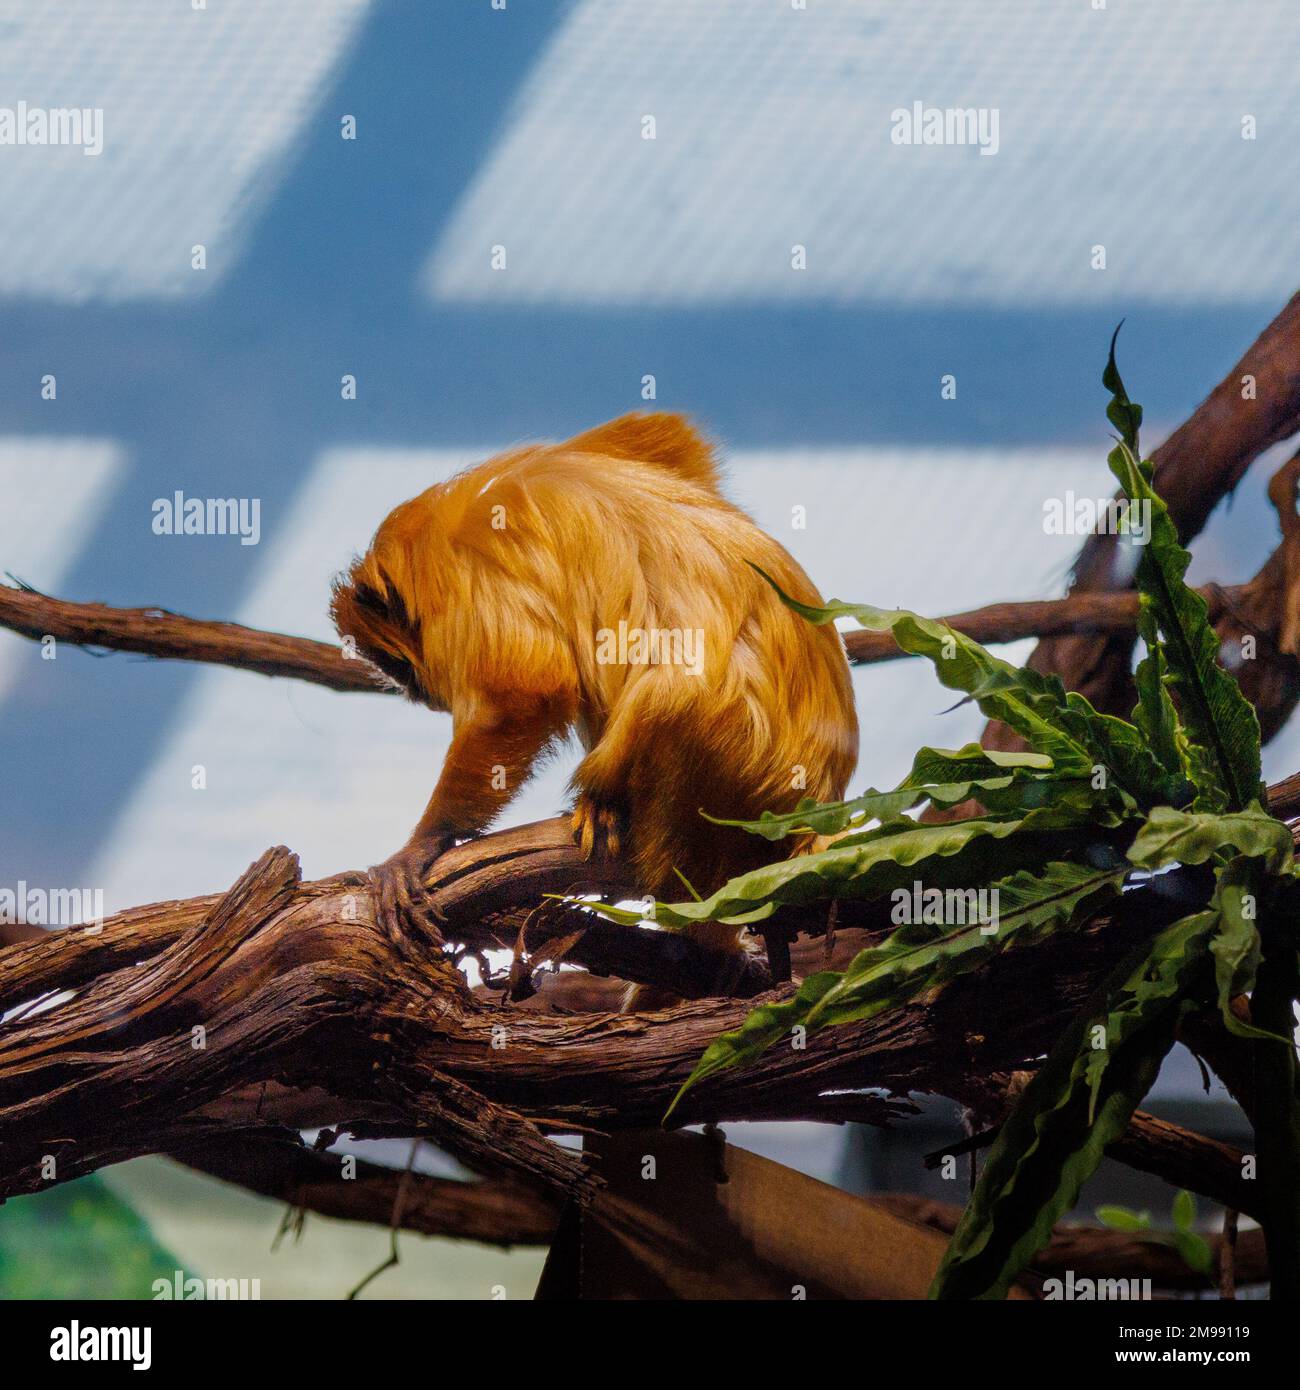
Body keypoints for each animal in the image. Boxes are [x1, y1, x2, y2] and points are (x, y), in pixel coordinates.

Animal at [330, 412, 858, 1004]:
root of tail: (816, 804)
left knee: (675, 696)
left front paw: (420, 846)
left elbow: (525, 689)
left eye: (397, 666)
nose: (412, 690)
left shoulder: (467, 583)